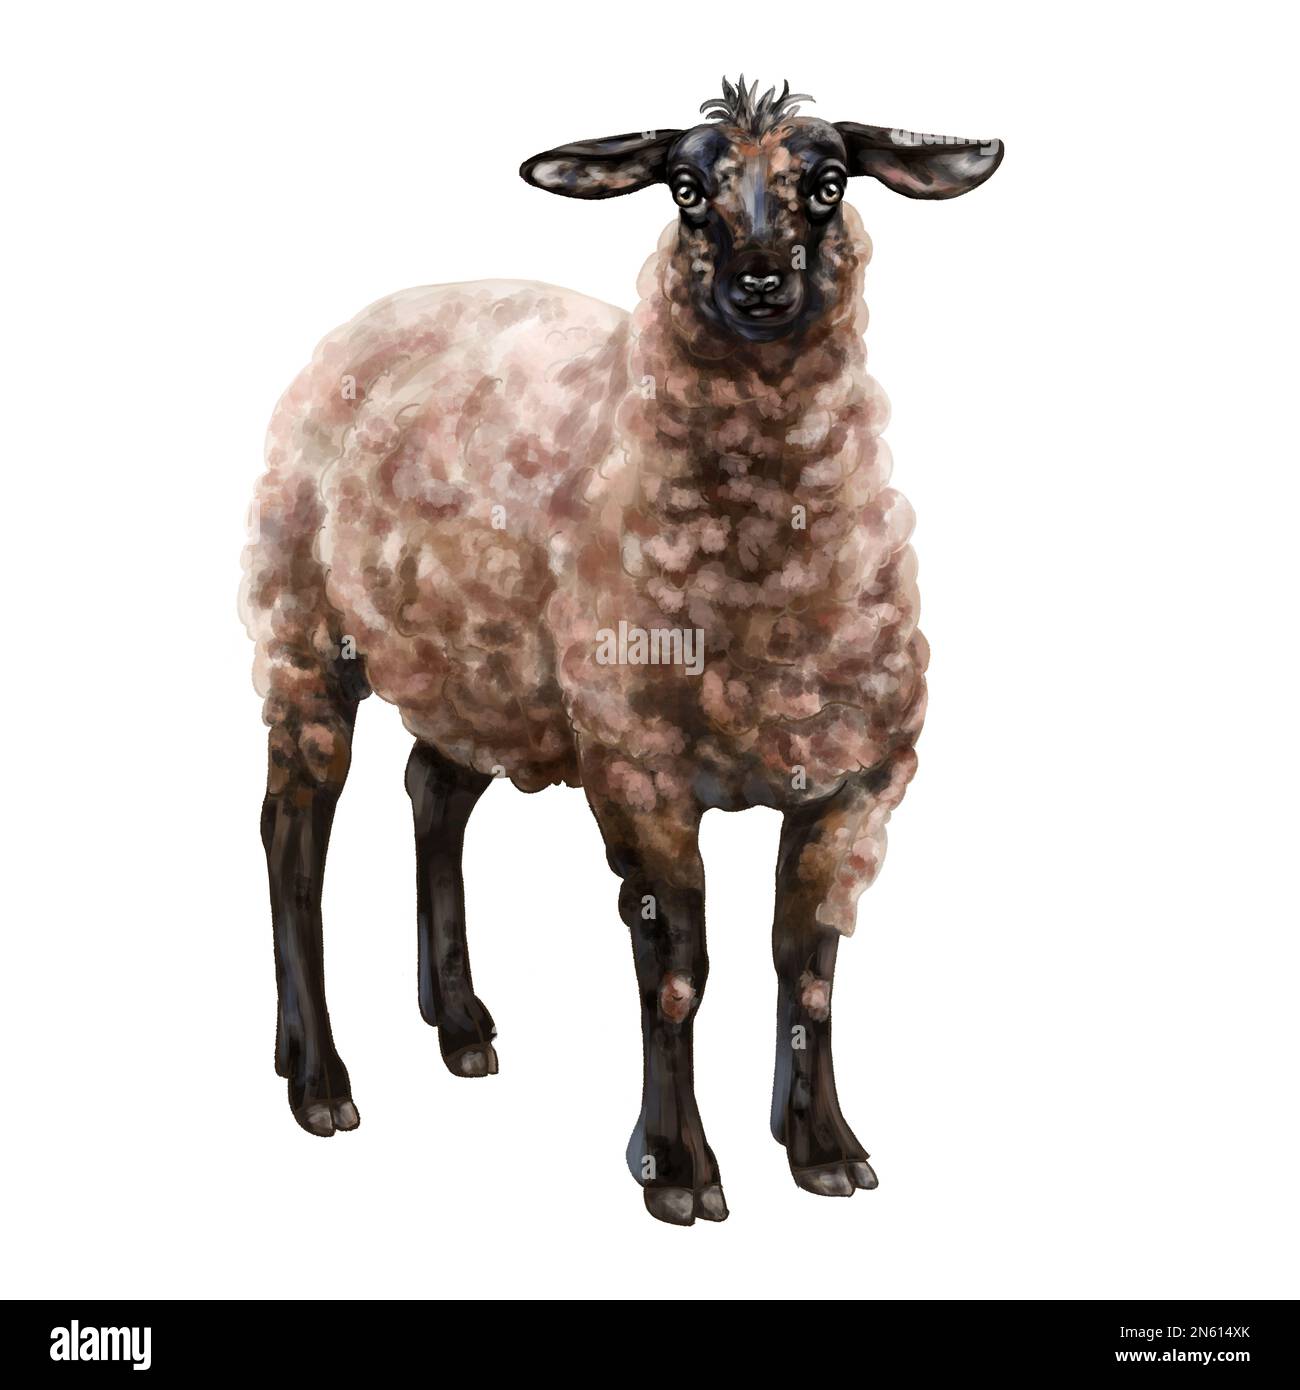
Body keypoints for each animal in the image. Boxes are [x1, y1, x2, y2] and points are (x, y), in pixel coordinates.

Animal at [240, 77, 1003, 1225]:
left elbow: (809, 972)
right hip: (303, 638)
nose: (759, 280)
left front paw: (821, 1145)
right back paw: (318, 1077)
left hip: (483, 670)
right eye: (684, 187)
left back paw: (458, 1024)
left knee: (432, 796)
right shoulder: (641, 771)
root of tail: (382, 312)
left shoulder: (851, 784)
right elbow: (678, 973)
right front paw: (679, 1169)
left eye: (829, 182)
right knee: (292, 834)